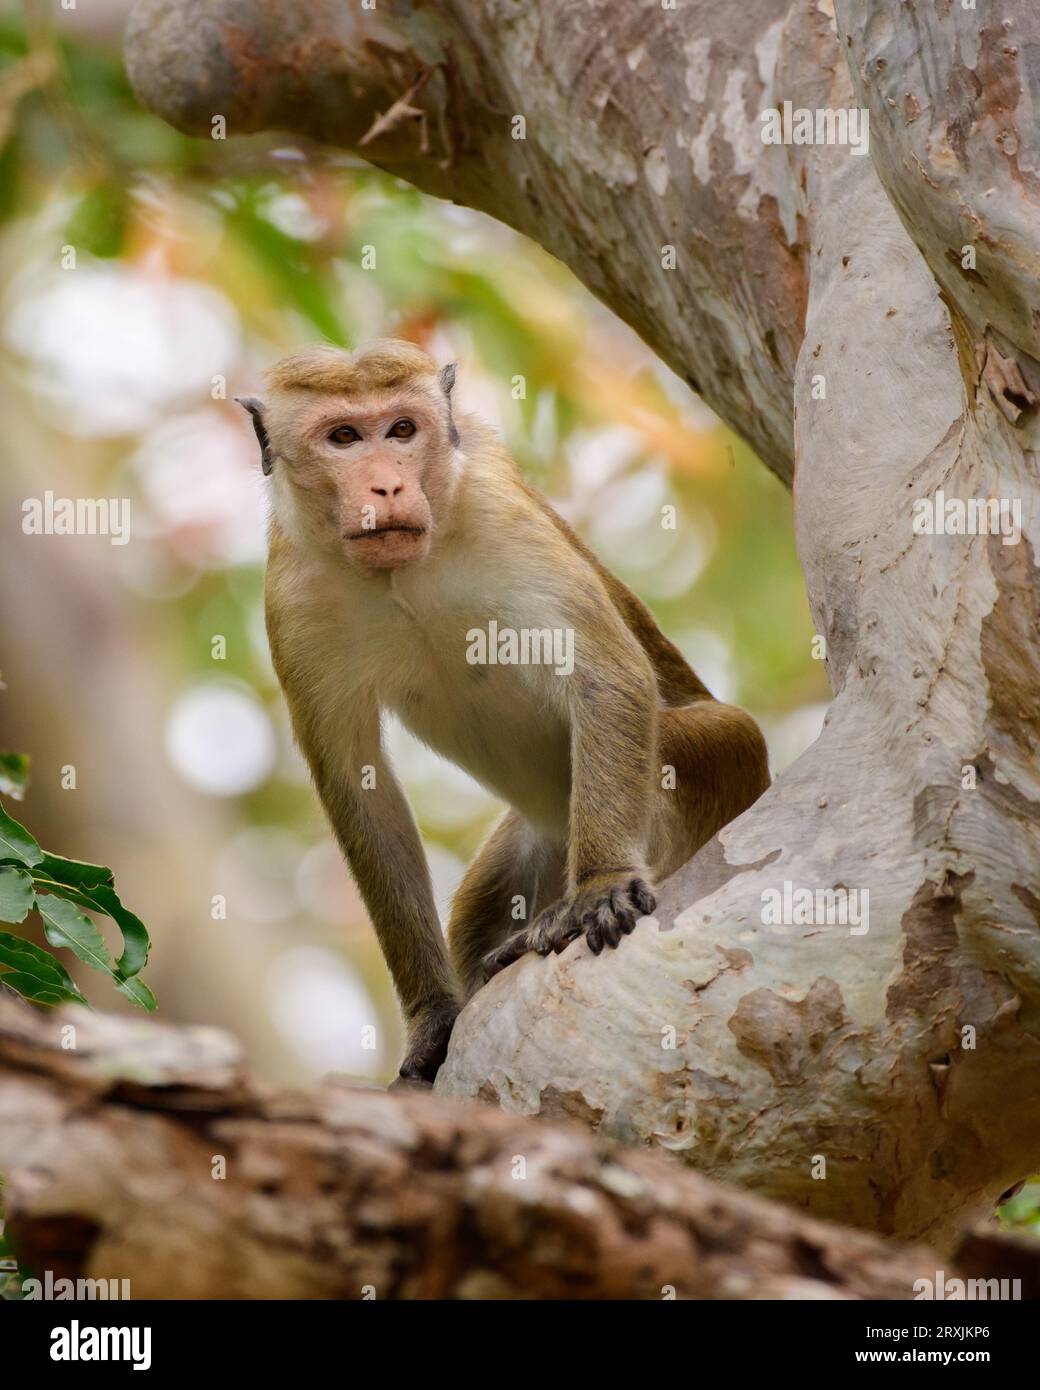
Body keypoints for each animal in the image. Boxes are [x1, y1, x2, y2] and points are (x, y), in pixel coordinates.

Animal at [238, 340, 770, 1084]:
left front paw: (602, 885)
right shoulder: (290, 591)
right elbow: (357, 781)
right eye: (343, 437)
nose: (386, 487)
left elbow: (604, 673)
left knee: (713, 738)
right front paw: (433, 1014)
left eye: (401, 430)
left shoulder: (501, 513)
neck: (402, 573)